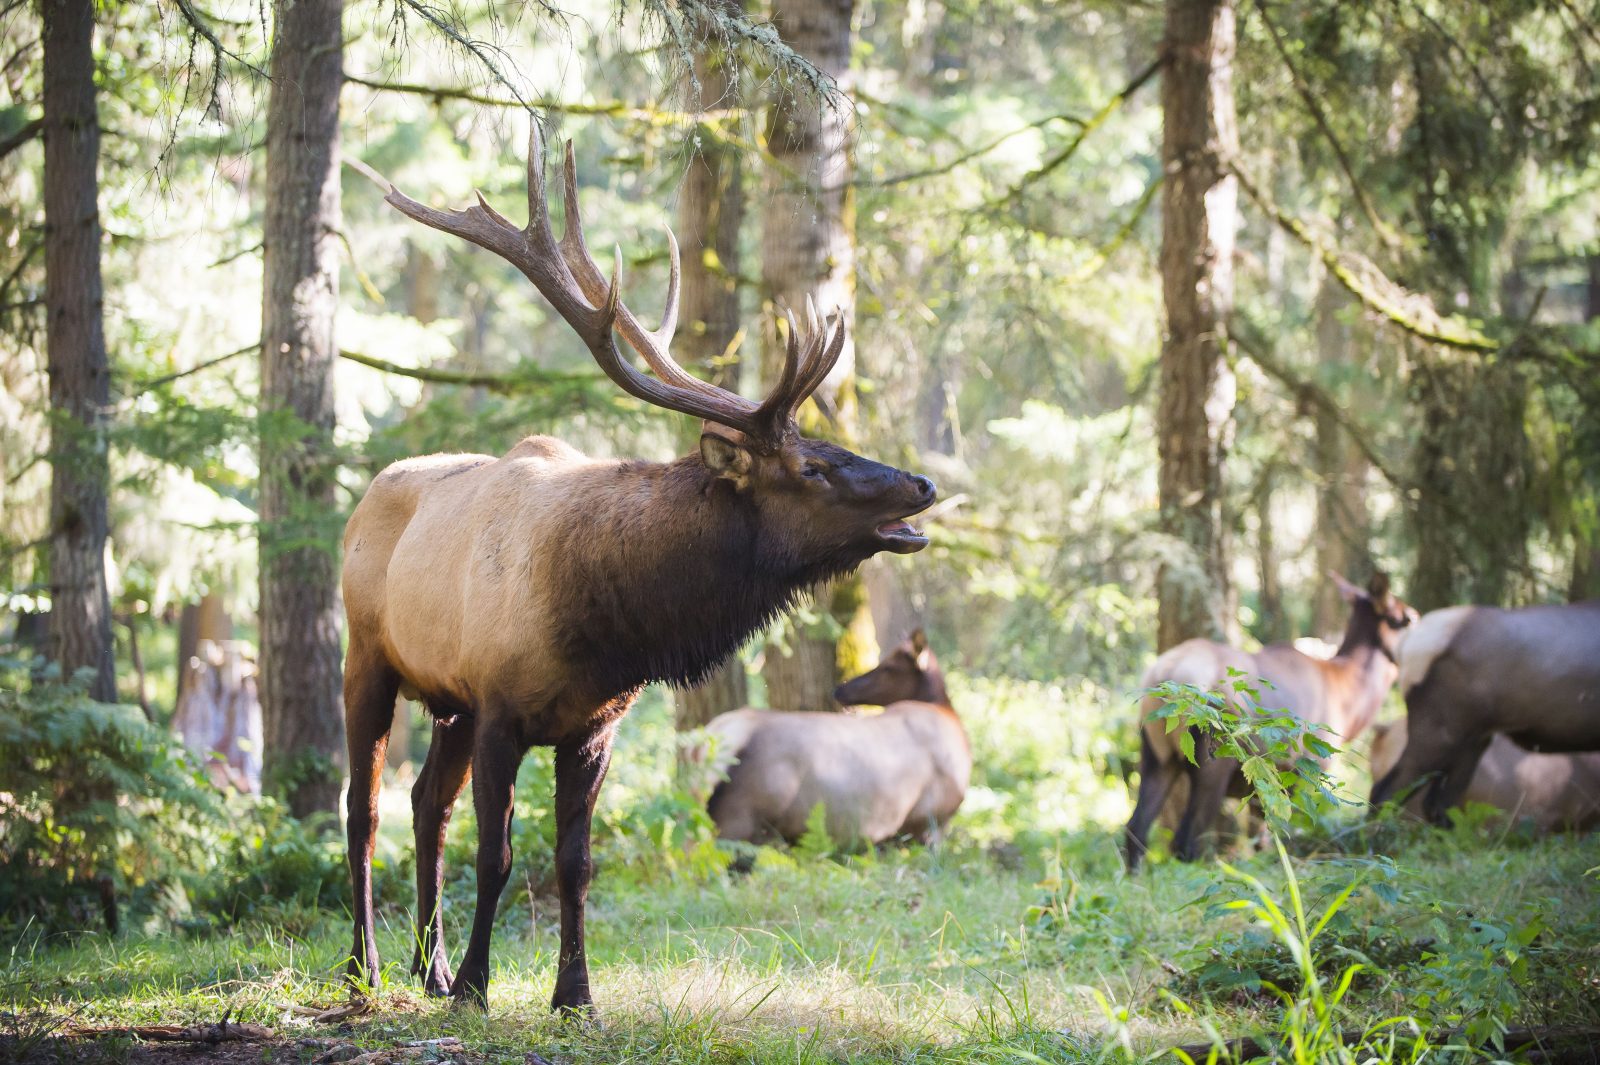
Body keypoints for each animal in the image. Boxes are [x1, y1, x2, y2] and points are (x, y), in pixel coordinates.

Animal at [341, 128, 936, 1013]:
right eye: (813, 466)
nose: (922, 484)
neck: (606, 625)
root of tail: (365, 496)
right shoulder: (500, 707)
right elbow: (498, 854)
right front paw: (482, 985)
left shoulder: (592, 726)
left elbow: (575, 863)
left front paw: (575, 995)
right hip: (369, 660)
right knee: (364, 810)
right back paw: (367, 968)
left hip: (446, 703)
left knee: (423, 806)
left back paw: (431, 967)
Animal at [1124, 572, 1416, 869]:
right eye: (1407, 618)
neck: (1351, 703)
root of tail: (1164, 676)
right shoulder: (1308, 768)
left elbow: (1263, 838)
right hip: (1214, 756)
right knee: (1185, 840)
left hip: (1156, 754)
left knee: (1136, 827)